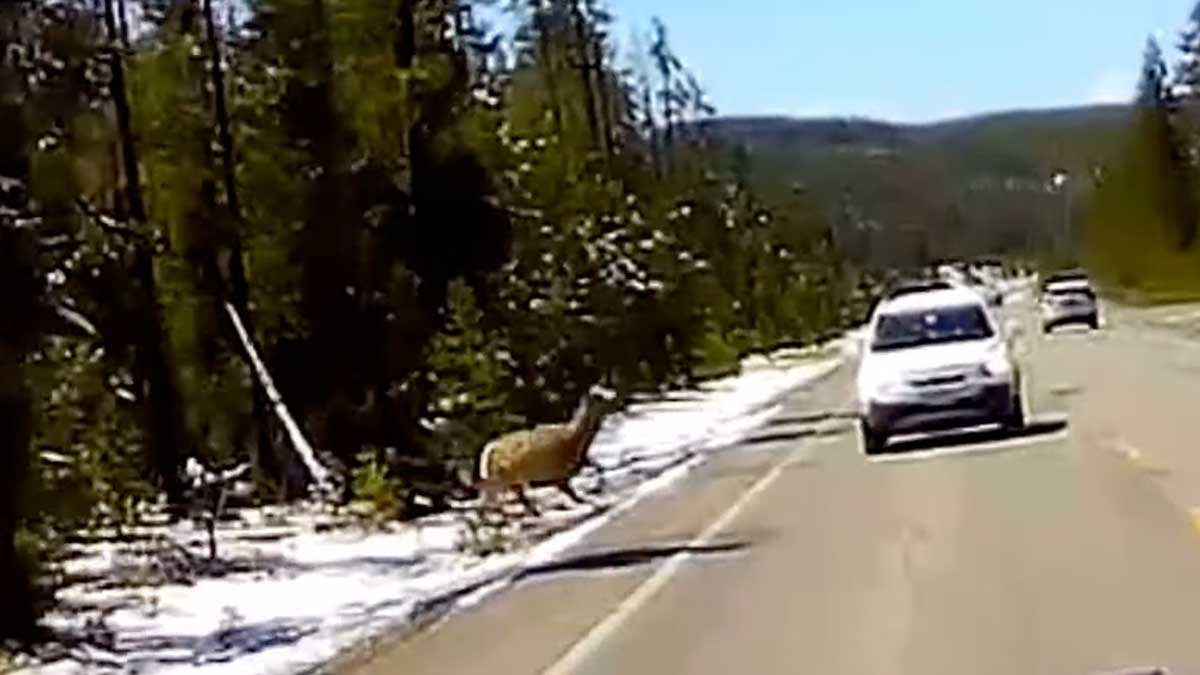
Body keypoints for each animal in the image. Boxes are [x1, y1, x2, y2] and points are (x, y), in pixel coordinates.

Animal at [475, 385, 614, 516]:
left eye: (604, 389)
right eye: (599, 396)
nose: (613, 396)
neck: (574, 441)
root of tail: (491, 450)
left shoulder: (568, 472)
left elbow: (598, 470)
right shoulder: (560, 476)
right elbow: (577, 496)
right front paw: (599, 504)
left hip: (511, 480)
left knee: (515, 499)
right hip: (506, 478)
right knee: (495, 501)